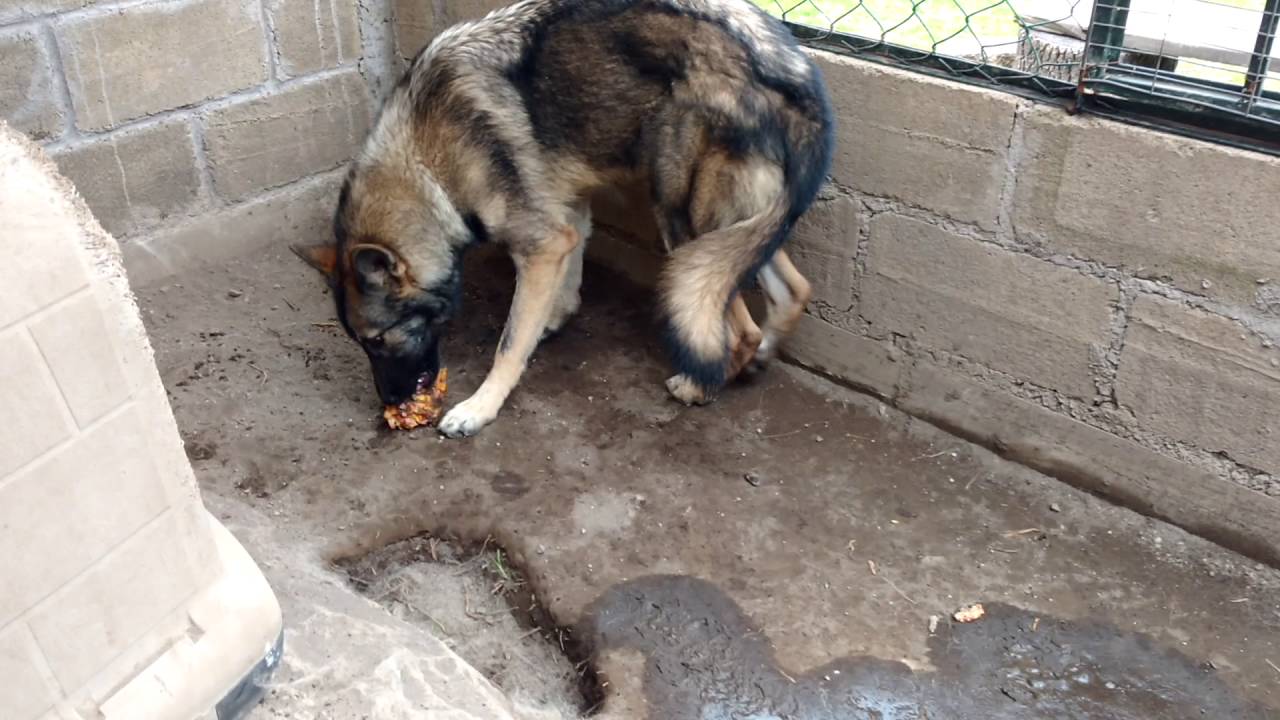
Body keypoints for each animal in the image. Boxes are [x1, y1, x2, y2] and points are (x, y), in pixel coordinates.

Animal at [293, 0, 834, 438]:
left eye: (379, 340)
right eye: (361, 344)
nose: (390, 402)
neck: (429, 163)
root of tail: (793, 73)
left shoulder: (542, 243)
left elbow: (509, 342)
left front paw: (480, 408)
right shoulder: (566, 221)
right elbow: (567, 281)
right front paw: (554, 317)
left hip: (682, 224)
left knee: (736, 325)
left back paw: (700, 387)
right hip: (734, 230)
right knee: (794, 290)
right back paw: (759, 359)